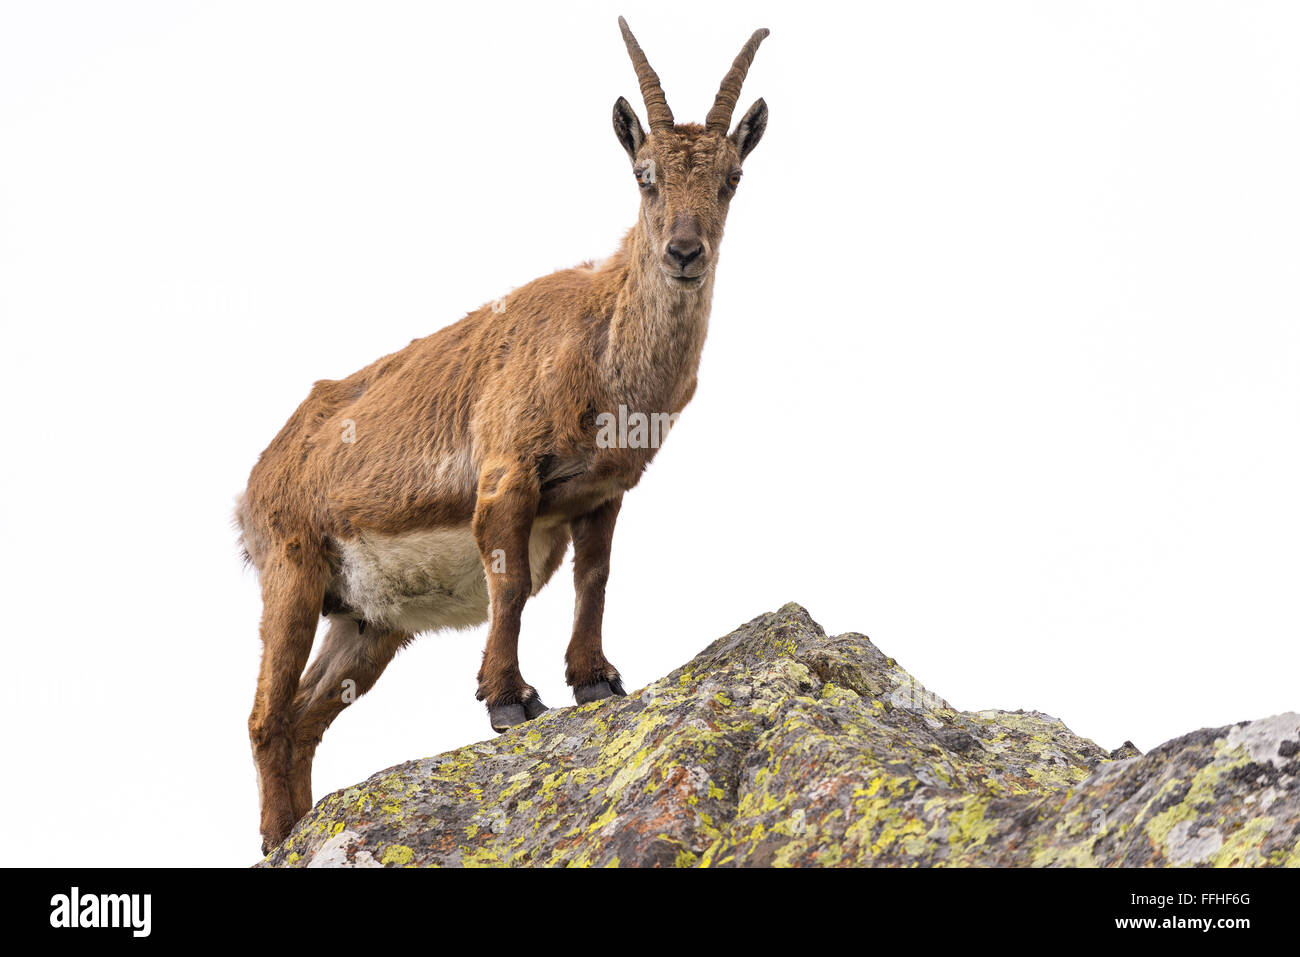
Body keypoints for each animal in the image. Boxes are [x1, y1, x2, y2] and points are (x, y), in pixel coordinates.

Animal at [237, 17, 770, 853]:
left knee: (303, 718)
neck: (603, 348)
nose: (685, 253)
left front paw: (595, 678)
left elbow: (594, 579)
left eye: (731, 178)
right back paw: (272, 836)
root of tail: (259, 476)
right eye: (645, 174)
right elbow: (510, 581)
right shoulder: (506, 475)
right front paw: (509, 697)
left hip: (365, 621)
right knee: (264, 716)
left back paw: (296, 826)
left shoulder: (604, 492)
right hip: (291, 565)